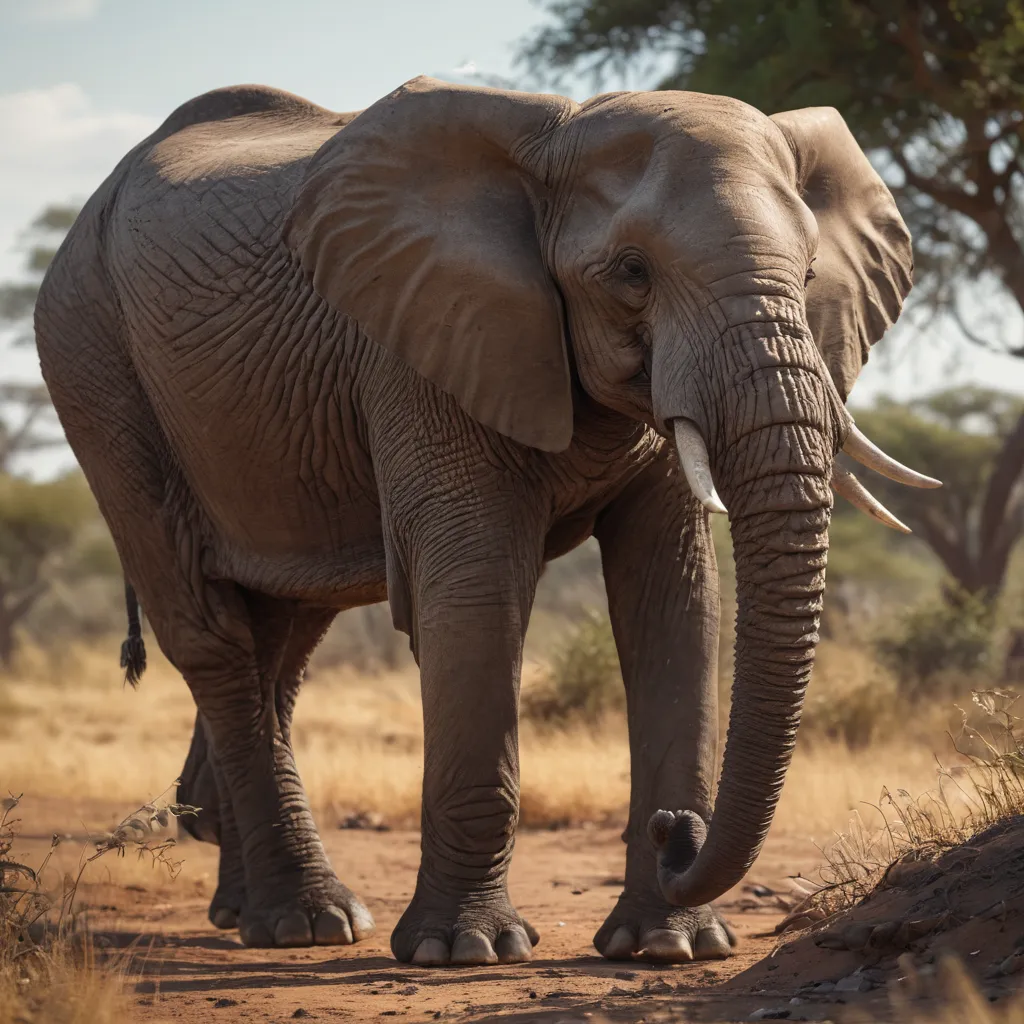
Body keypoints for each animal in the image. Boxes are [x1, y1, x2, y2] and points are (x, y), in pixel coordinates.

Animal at [35, 76, 939, 966]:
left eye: (811, 270)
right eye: (632, 272)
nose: (673, 833)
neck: (552, 144)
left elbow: (673, 599)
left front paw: (670, 947)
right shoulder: (421, 342)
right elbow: (477, 590)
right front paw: (466, 949)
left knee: (282, 635)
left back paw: (247, 906)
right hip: (94, 365)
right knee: (212, 637)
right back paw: (306, 921)